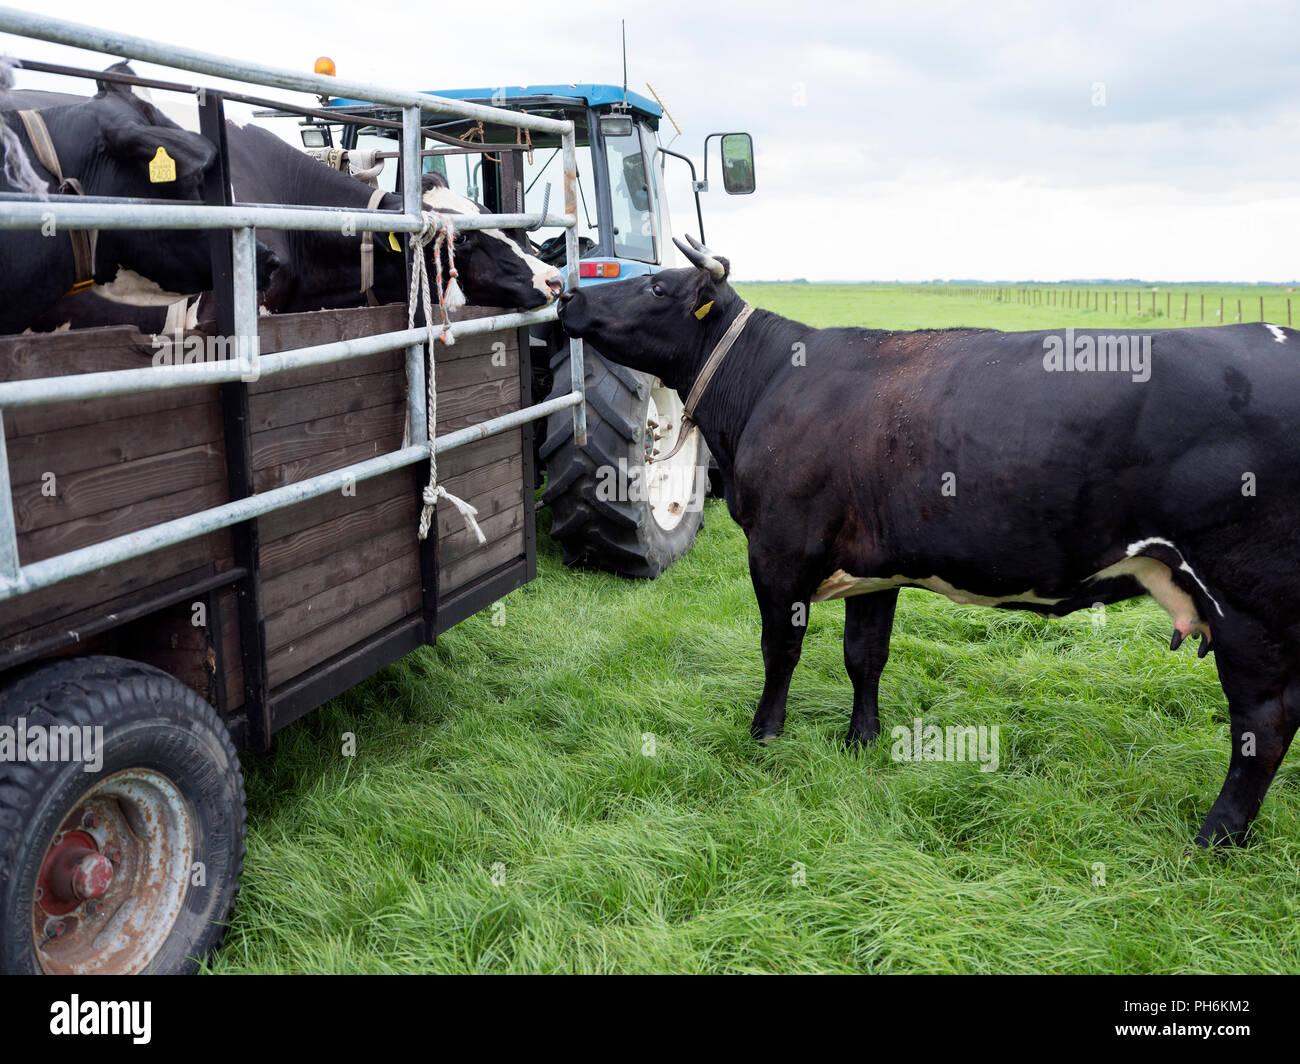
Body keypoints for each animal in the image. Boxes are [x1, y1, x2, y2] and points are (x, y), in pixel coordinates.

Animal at [557, 236, 1300, 849]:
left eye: (658, 288)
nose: (567, 295)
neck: (771, 381)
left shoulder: (778, 550)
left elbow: (781, 650)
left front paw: (765, 734)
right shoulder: (872, 566)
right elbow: (864, 655)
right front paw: (861, 740)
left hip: (1245, 595)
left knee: (1264, 720)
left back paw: (1215, 837)